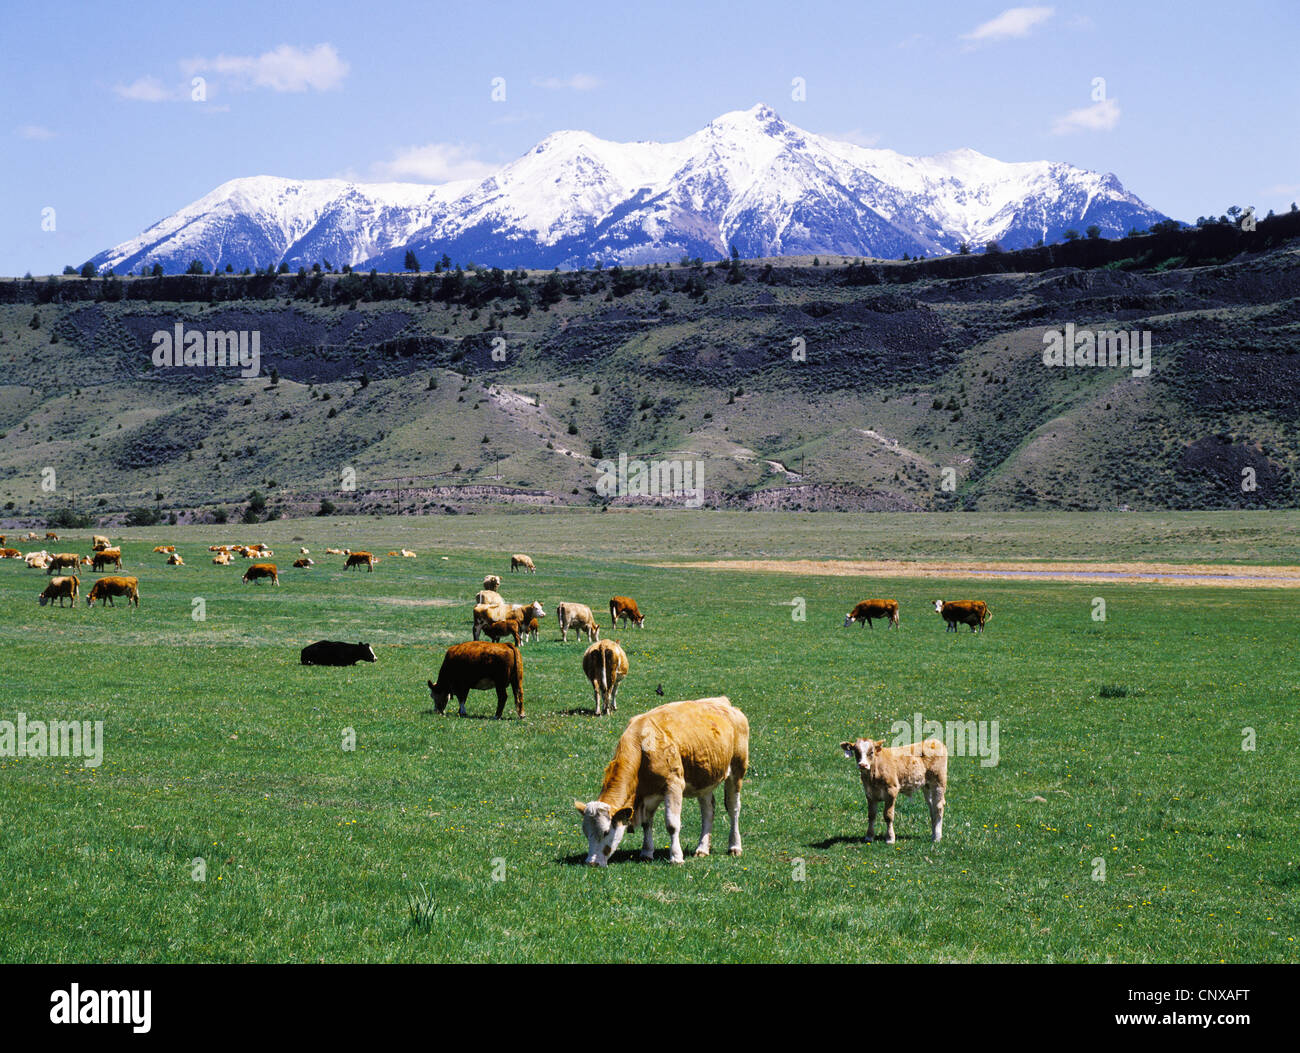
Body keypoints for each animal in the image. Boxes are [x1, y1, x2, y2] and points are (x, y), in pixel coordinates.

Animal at [575, 697, 748, 866]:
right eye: (585, 832)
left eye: (605, 832)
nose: (591, 863)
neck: (642, 743)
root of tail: (725, 703)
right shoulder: (648, 793)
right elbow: (647, 823)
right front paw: (646, 853)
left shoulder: (674, 785)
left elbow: (672, 824)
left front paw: (676, 857)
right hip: (704, 779)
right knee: (708, 810)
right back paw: (702, 849)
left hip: (737, 770)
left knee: (733, 808)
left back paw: (734, 846)